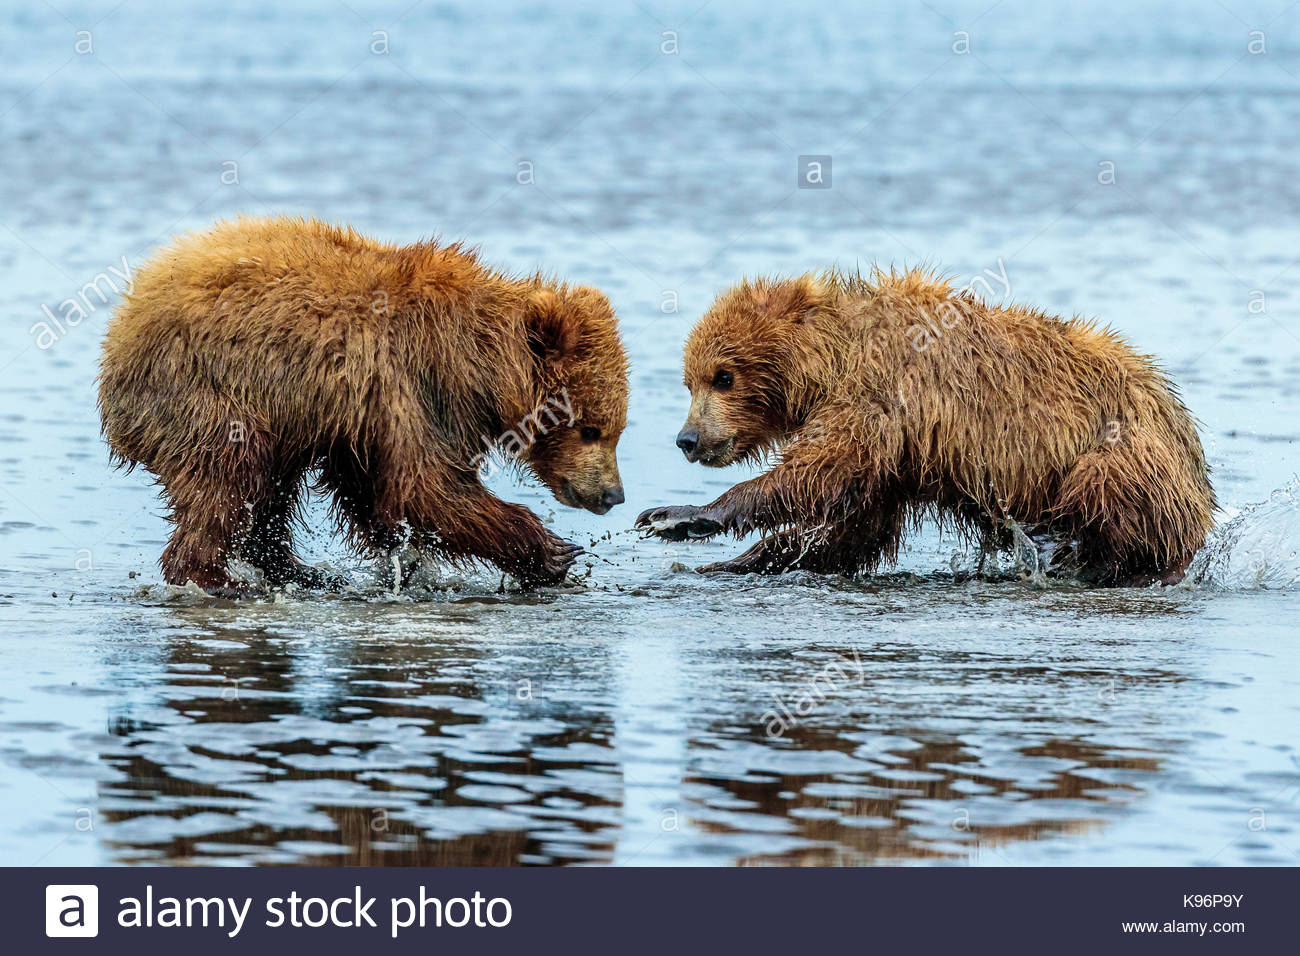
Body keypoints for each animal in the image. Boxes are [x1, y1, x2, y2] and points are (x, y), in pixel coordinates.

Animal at [99, 215, 628, 594]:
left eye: (616, 430)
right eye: (590, 429)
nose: (613, 495)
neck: (480, 360)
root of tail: (120, 330)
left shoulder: (359, 413)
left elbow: (372, 488)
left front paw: (404, 555)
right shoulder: (411, 381)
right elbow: (427, 486)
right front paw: (554, 551)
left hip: (278, 411)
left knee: (271, 485)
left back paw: (299, 571)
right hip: (207, 392)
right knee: (227, 474)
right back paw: (214, 577)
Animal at [636, 268, 1216, 586]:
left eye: (723, 375)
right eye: (688, 381)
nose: (688, 440)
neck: (832, 360)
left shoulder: (885, 393)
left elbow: (823, 470)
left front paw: (684, 515)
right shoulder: (899, 455)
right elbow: (855, 527)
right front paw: (724, 560)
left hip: (1123, 447)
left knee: (1107, 489)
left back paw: (1098, 558)